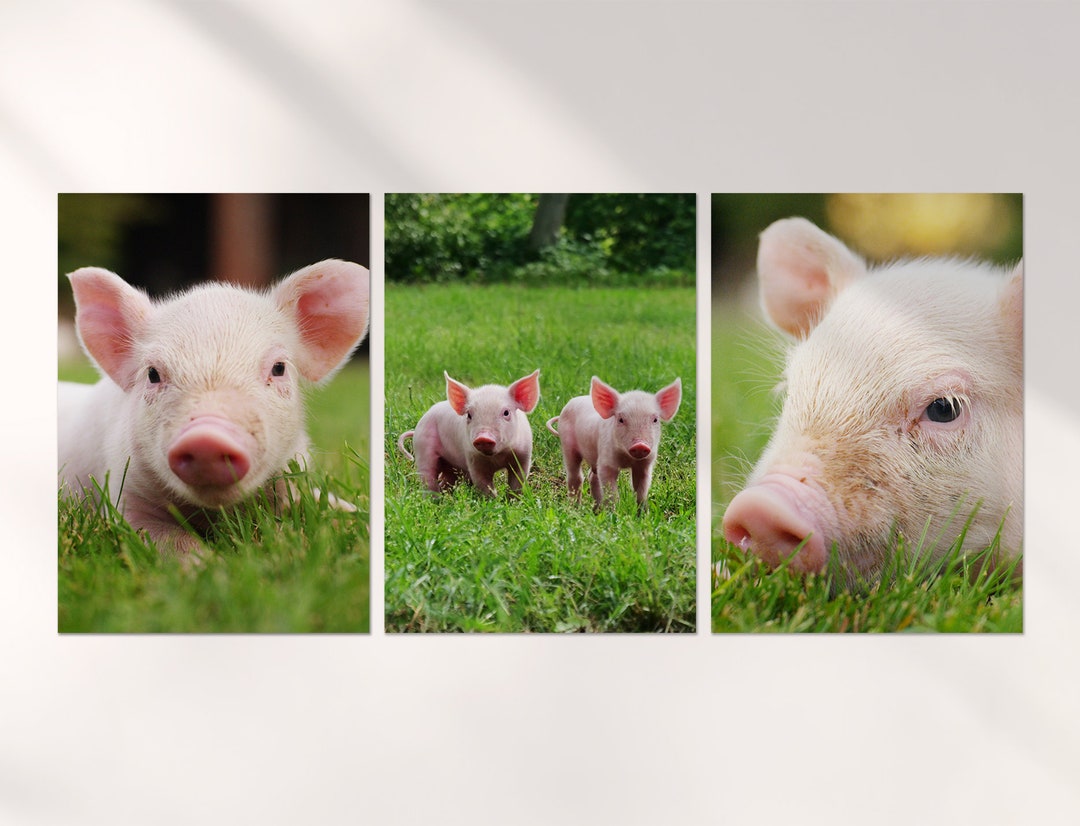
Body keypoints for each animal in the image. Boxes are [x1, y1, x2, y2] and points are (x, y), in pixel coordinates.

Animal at [58, 259, 370, 556]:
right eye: (153, 374)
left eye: (279, 368)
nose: (207, 437)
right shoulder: (125, 494)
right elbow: (168, 540)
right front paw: (210, 564)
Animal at [397, 370, 541, 495]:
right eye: (469, 415)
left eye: (506, 412)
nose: (483, 437)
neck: (498, 457)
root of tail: (416, 430)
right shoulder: (473, 459)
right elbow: (483, 484)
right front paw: (494, 502)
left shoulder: (523, 455)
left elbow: (518, 482)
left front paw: (513, 501)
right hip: (422, 447)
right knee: (428, 478)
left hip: (450, 465)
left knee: (446, 481)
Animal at [546, 376, 682, 509]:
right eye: (621, 419)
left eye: (655, 420)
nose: (640, 445)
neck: (627, 459)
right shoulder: (606, 461)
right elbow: (612, 493)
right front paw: (614, 513)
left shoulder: (645, 464)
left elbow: (641, 492)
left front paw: (643, 513)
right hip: (567, 444)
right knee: (576, 477)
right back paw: (575, 509)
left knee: (592, 476)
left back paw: (597, 509)